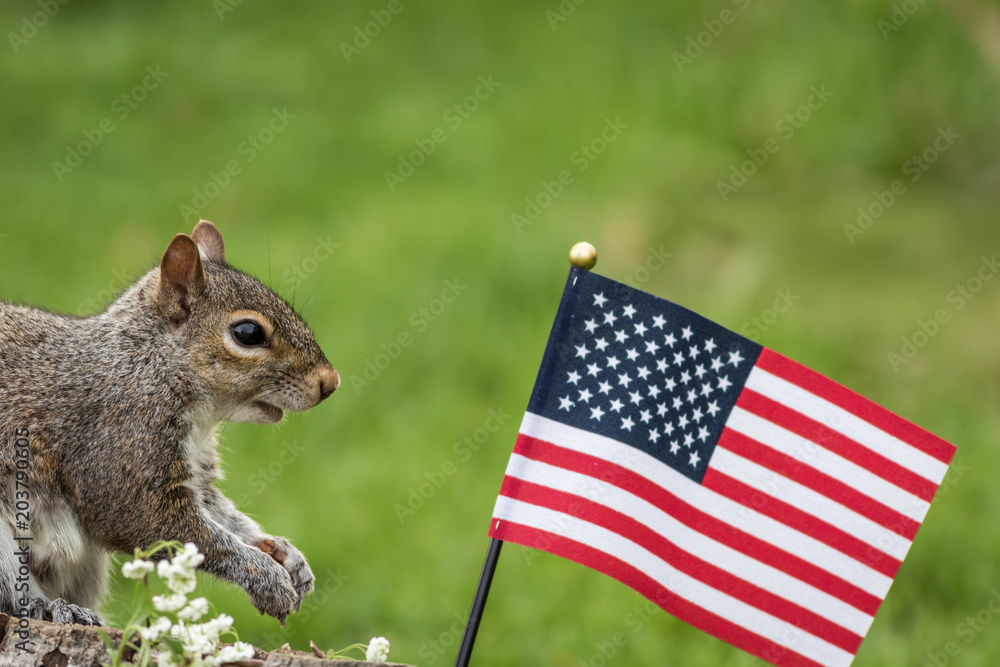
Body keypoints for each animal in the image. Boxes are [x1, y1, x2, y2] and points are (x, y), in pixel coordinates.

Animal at [0, 221, 340, 626]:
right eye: (248, 333)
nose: (330, 383)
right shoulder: (122, 441)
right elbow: (159, 523)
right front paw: (264, 575)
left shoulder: (194, 470)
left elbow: (220, 514)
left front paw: (284, 552)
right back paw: (48, 606)